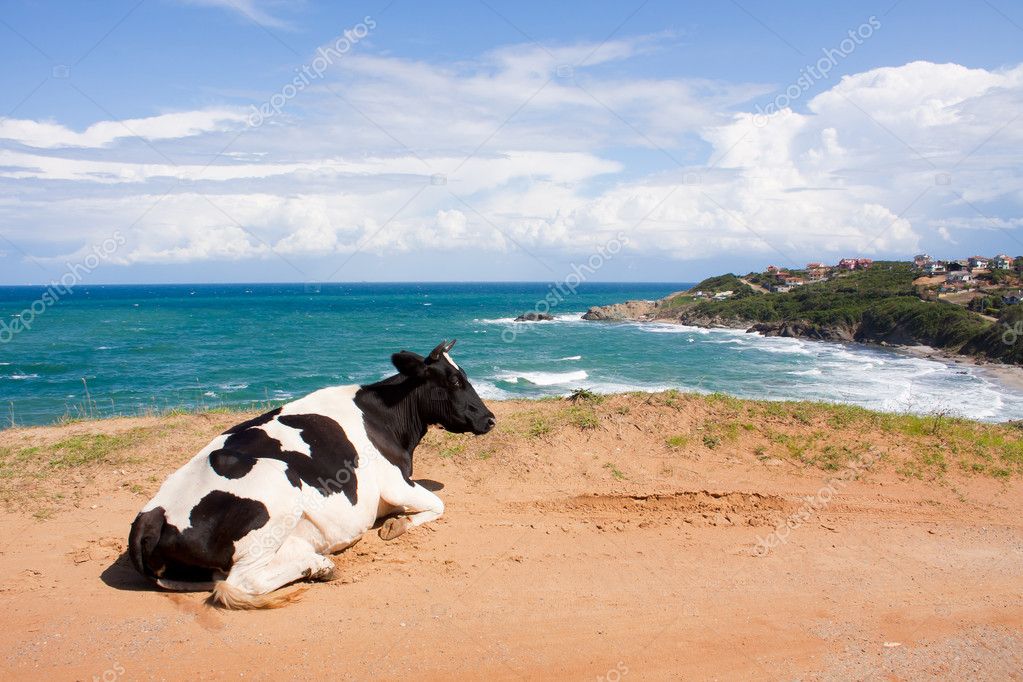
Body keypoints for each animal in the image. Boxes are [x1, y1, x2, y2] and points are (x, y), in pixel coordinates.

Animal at [128, 340, 495, 609]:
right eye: (455, 380)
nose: (490, 419)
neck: (386, 418)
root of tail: (151, 516)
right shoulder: (395, 483)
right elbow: (438, 505)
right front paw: (397, 526)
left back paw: (316, 562)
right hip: (278, 489)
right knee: (242, 580)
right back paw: (320, 567)